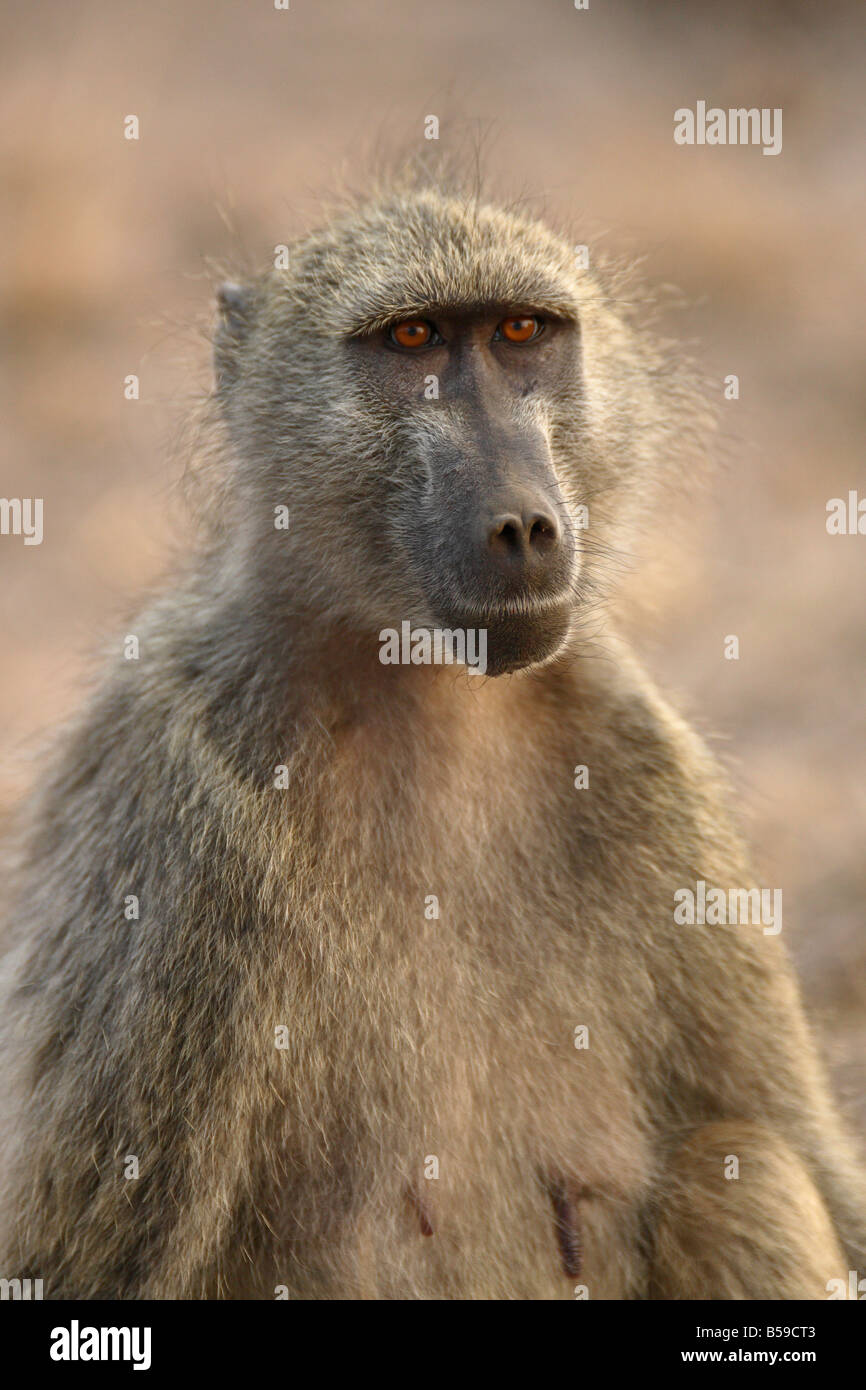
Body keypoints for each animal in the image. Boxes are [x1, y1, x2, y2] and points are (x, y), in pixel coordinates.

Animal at [0, 174, 863, 1300]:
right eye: (412, 340)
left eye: (521, 333)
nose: (524, 524)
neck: (429, 695)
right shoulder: (173, 805)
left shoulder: (648, 759)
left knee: (743, 1166)